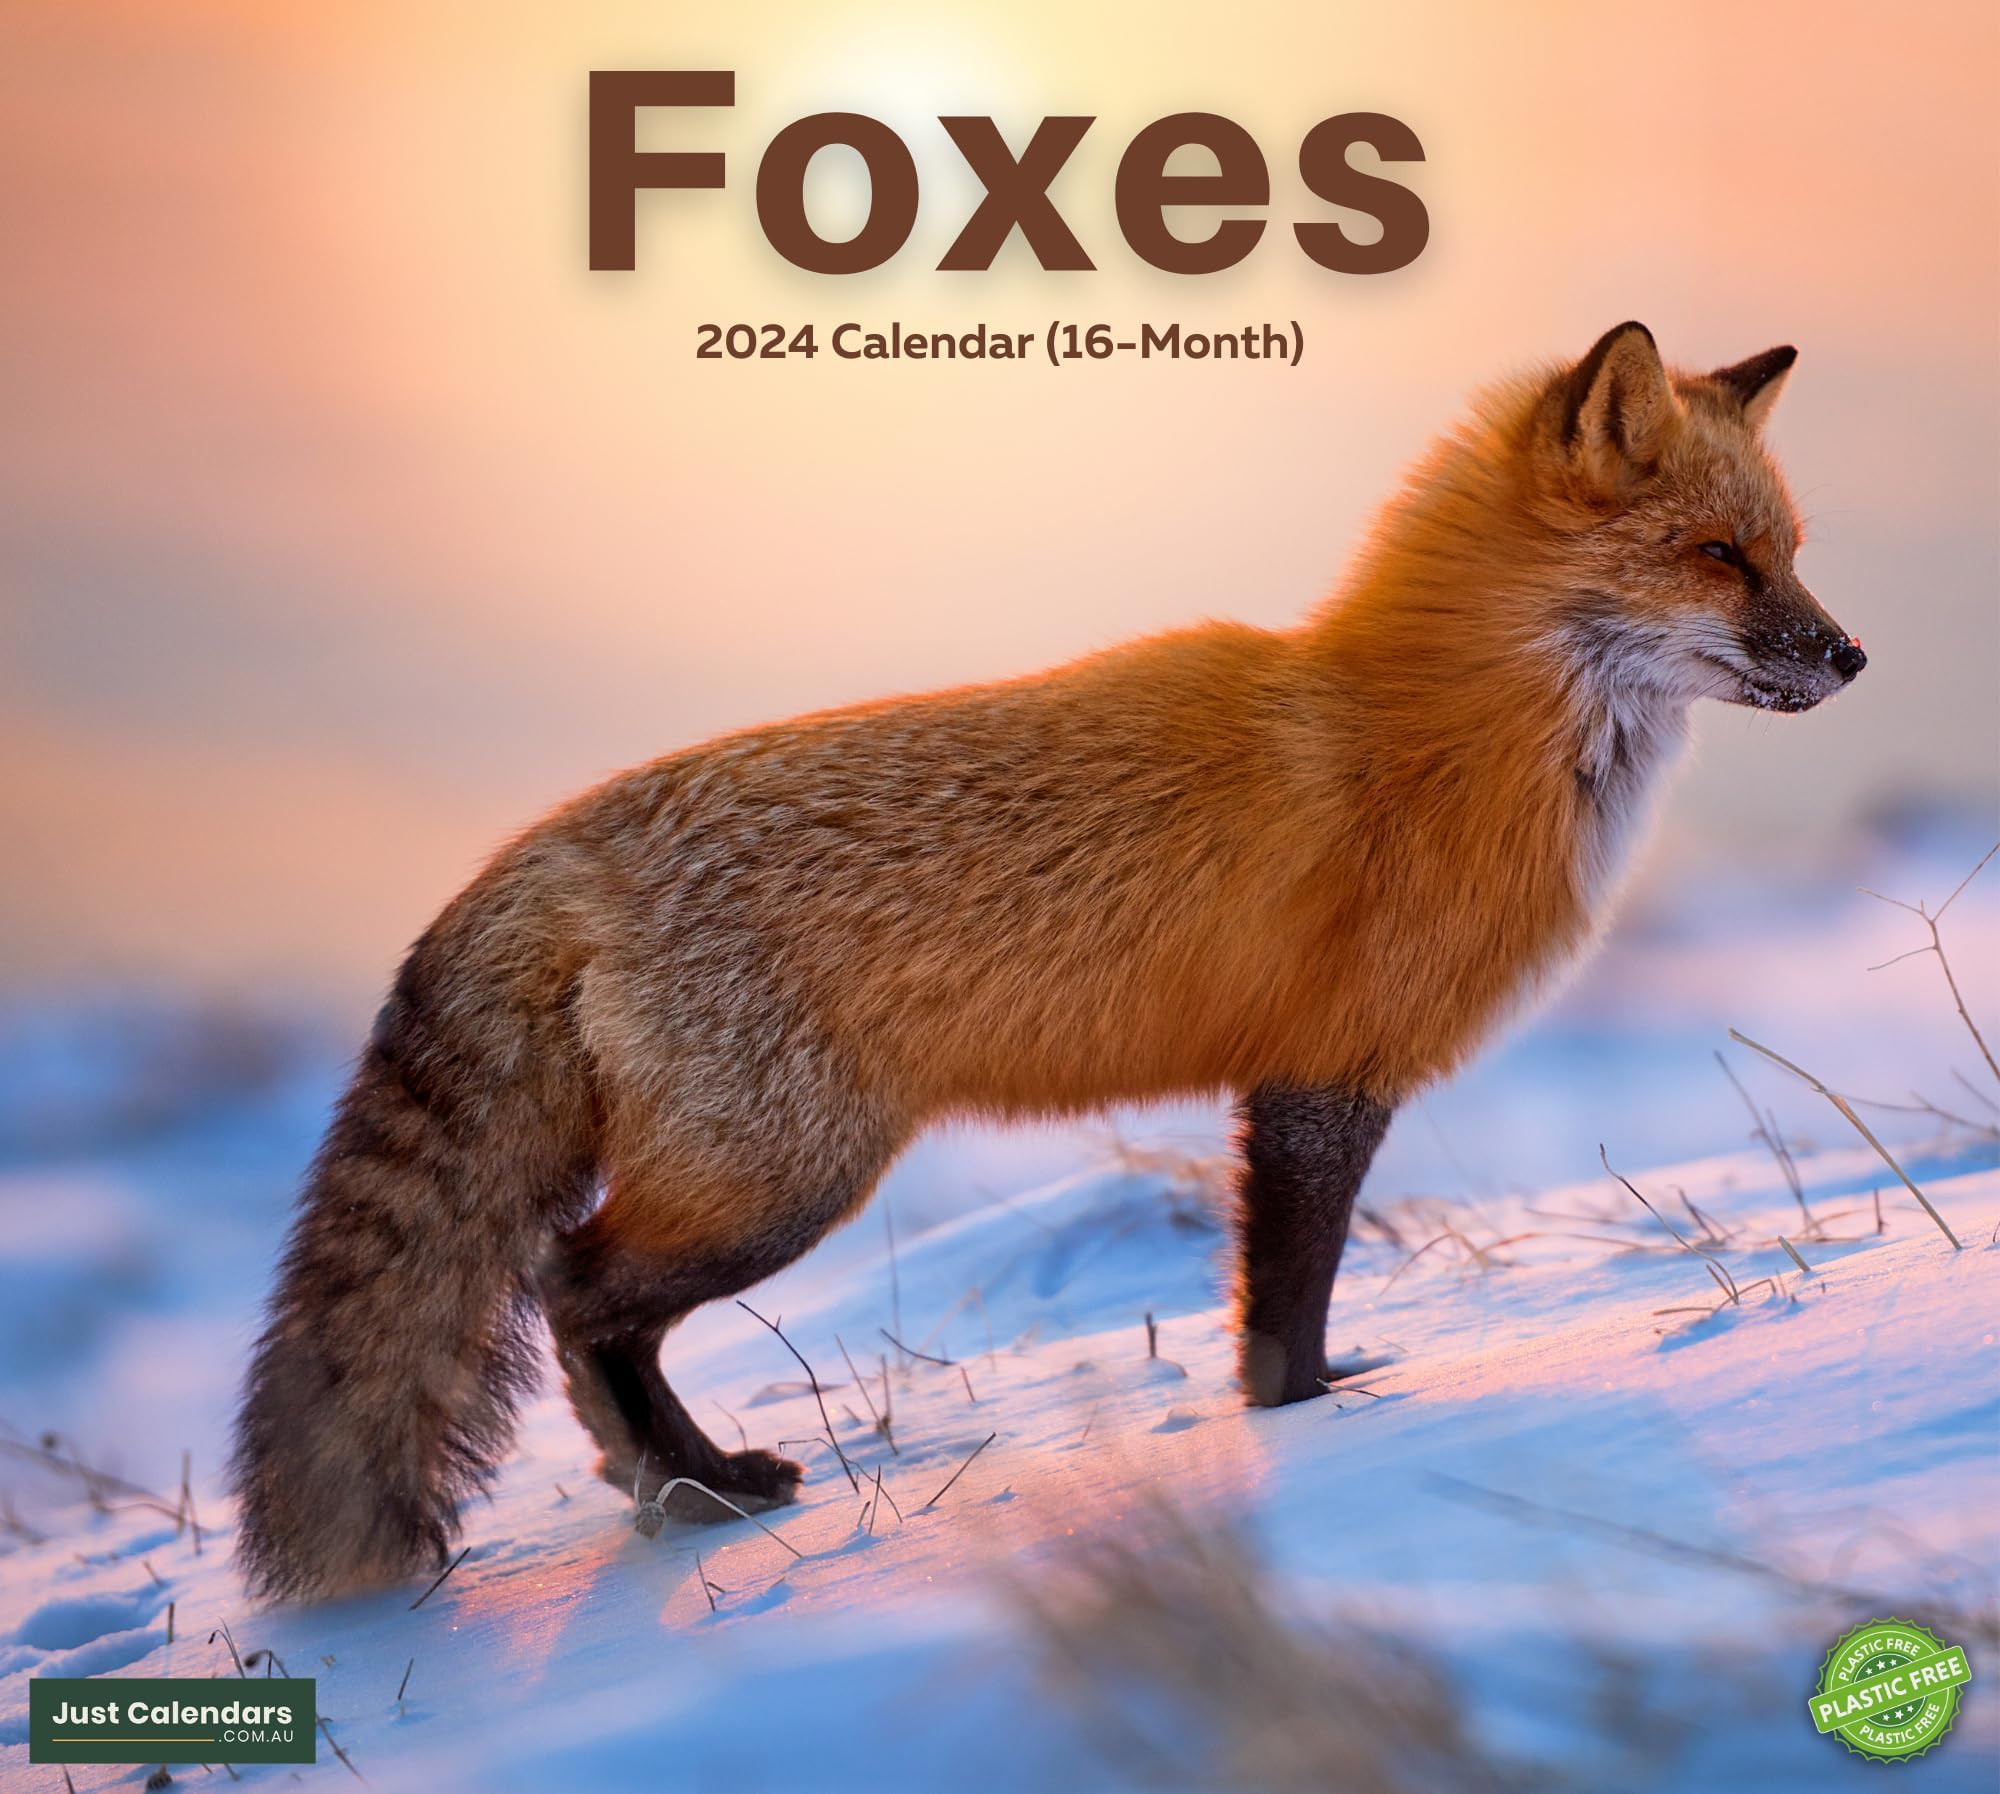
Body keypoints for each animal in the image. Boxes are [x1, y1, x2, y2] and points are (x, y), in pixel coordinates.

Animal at [233, 322, 1865, 1598]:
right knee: (573, 1287)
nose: (1851, 659)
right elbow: (1287, 1300)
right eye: (1717, 557)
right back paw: (692, 1487)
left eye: (1788, 555)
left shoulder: (1302, 1076)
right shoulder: (1321, 1075)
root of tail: (550, 846)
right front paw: (1308, 1427)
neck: (1437, 741)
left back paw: (683, 1487)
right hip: (785, 1180)